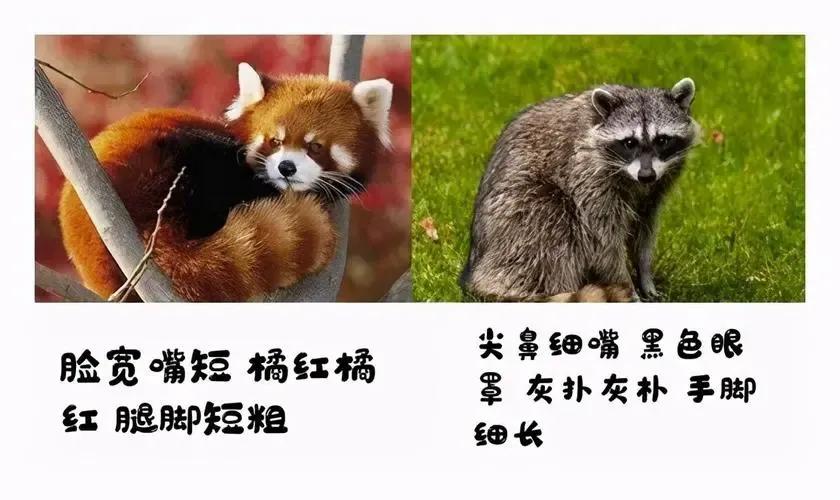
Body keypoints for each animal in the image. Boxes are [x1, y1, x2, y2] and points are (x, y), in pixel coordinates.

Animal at [461, 78, 699, 302]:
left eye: (662, 140)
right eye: (629, 143)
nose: (646, 175)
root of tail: (476, 270)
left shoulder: (655, 190)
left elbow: (644, 231)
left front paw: (644, 276)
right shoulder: (586, 173)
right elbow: (602, 239)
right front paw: (626, 285)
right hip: (519, 216)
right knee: (555, 225)